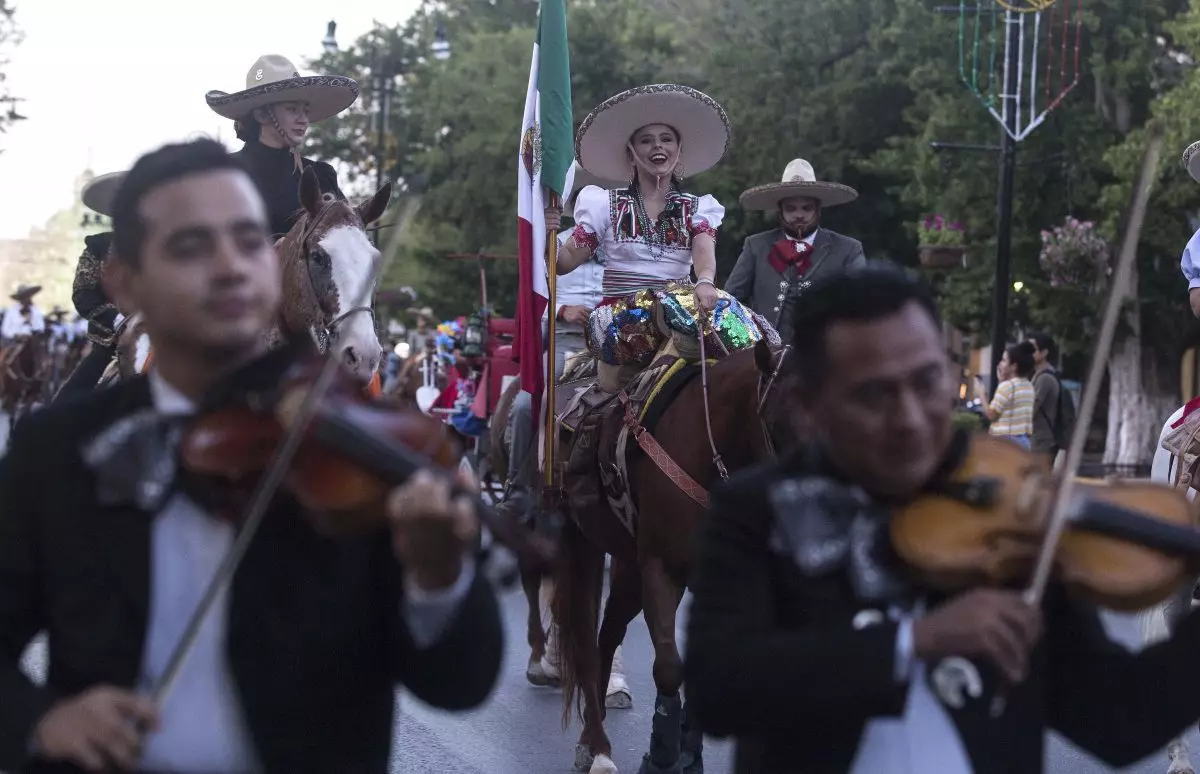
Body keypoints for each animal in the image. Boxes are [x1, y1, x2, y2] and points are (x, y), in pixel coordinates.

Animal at [549, 343, 787, 772]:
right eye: (778, 421)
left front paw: (690, 754)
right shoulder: (662, 570)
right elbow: (669, 666)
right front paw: (662, 756)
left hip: (627, 565)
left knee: (608, 634)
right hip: (580, 543)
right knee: (586, 643)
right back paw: (597, 747)